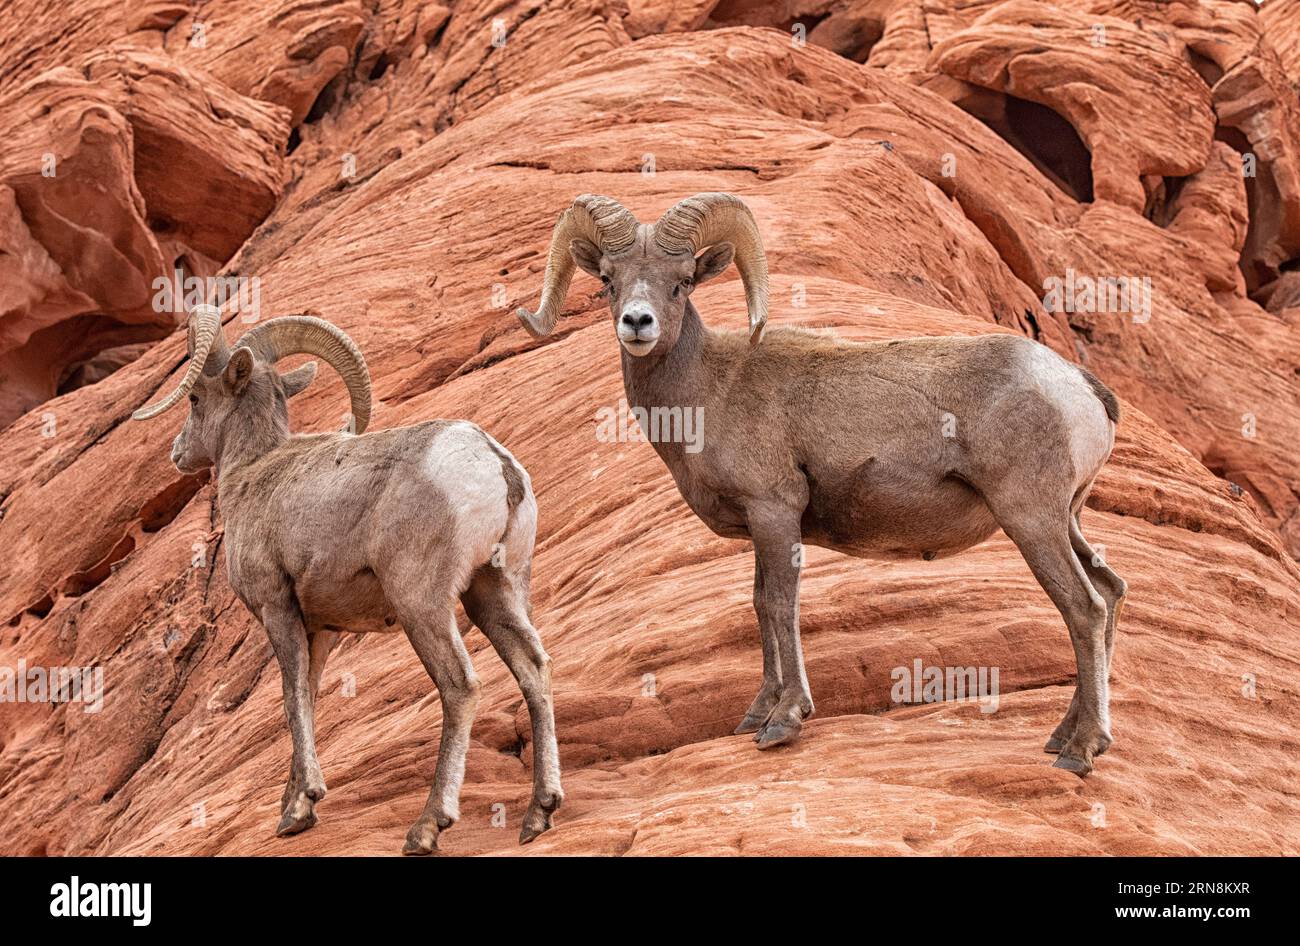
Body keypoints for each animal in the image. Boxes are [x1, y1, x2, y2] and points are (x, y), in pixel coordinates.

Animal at [132, 304, 562, 852]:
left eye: (193, 397)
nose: (177, 452)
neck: (254, 474)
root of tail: (495, 463)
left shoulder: (277, 608)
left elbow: (291, 697)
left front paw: (303, 804)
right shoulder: (322, 629)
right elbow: (308, 698)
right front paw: (292, 811)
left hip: (422, 604)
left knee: (460, 686)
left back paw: (427, 827)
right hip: (497, 591)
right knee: (534, 668)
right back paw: (538, 813)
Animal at [517, 193, 1127, 775]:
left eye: (682, 281)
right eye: (608, 280)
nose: (638, 323)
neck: (711, 390)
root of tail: (1078, 385)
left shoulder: (774, 511)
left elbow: (781, 605)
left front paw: (785, 722)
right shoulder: (761, 525)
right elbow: (759, 605)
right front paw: (756, 714)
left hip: (1030, 518)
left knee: (1085, 607)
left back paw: (1079, 753)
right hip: (1067, 518)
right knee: (1111, 589)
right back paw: (1066, 737)